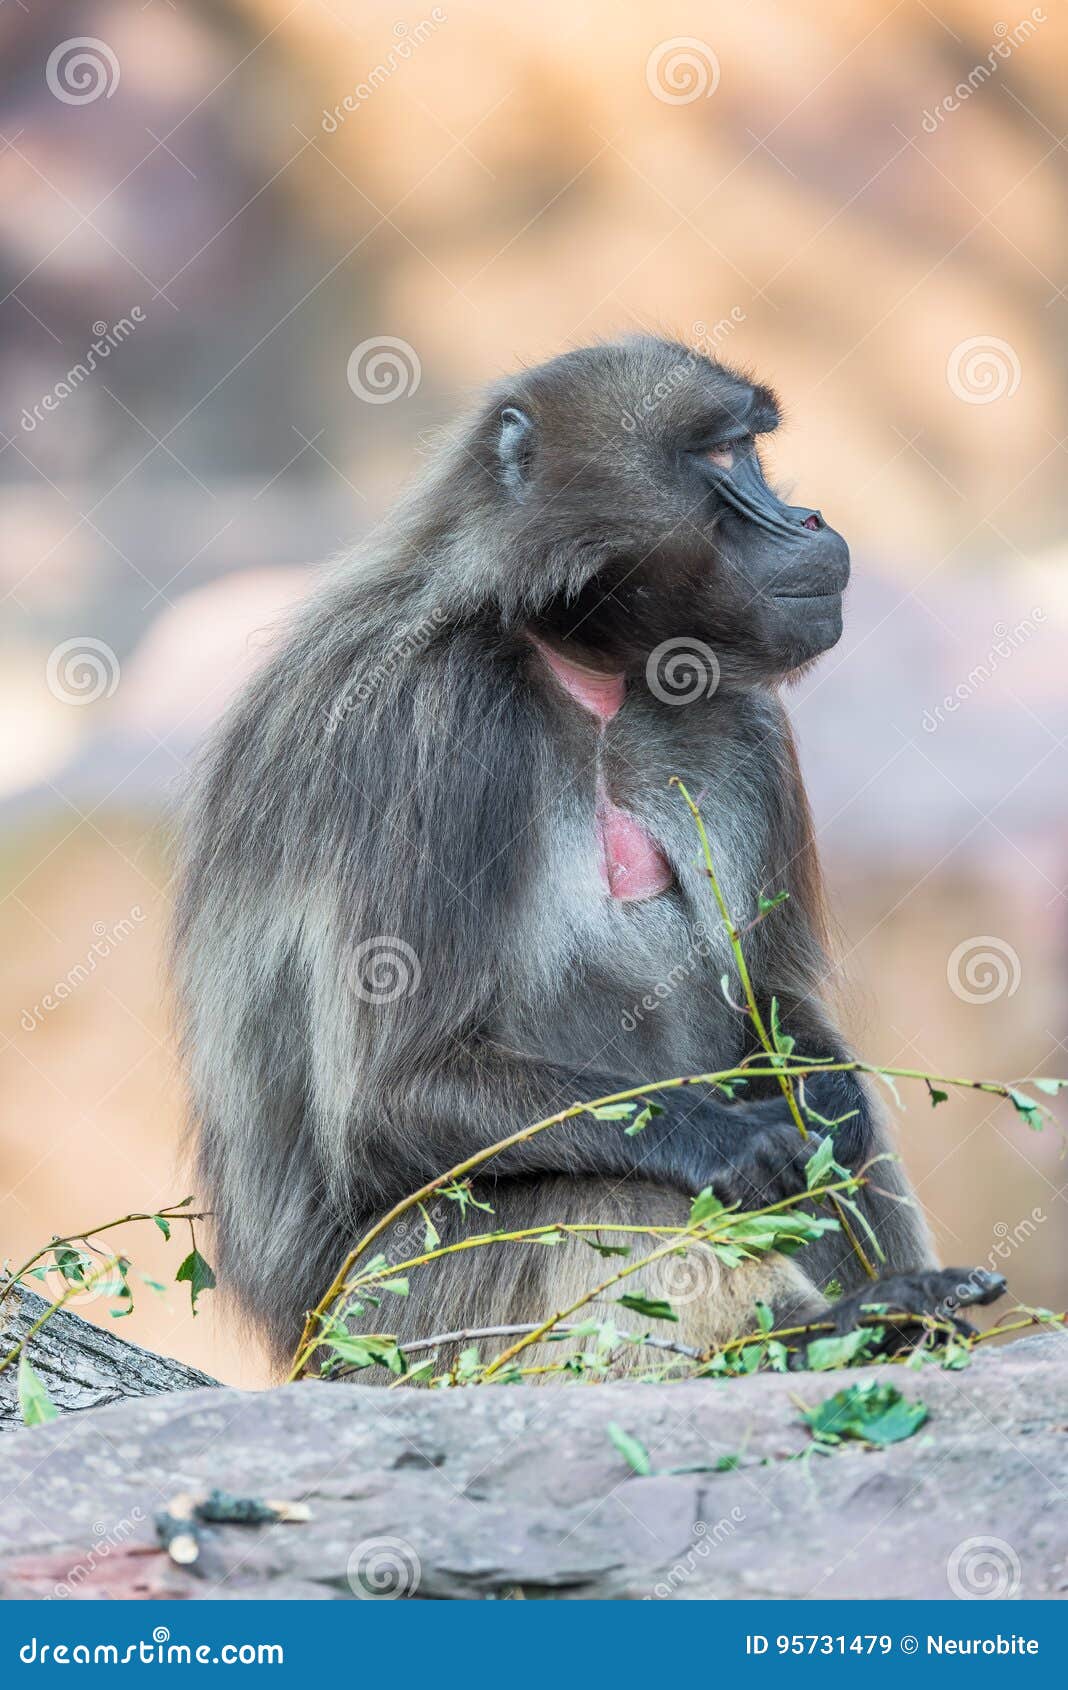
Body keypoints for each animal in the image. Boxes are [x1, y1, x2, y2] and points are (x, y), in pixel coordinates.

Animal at [172, 335, 1006, 1376]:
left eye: (753, 447)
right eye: (723, 453)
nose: (810, 518)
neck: (576, 662)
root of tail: (300, 1344)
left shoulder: (743, 724)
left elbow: (777, 1012)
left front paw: (823, 1099)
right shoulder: (434, 725)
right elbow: (389, 1095)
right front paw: (725, 1143)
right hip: (388, 1322)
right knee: (603, 1190)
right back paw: (822, 1326)